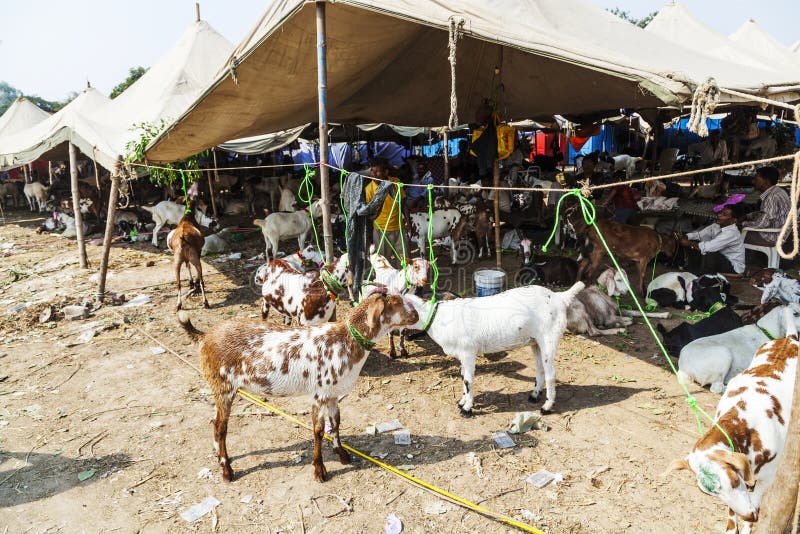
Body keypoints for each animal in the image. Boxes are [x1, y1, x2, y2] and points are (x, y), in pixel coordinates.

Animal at [177, 291, 418, 482]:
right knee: (221, 427)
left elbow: (336, 424)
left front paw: (342, 455)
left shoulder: (333, 394)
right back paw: (227, 470)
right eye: (397, 301)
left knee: (215, 423)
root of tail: (205, 336)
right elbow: (319, 430)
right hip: (223, 385)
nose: (416, 314)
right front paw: (319, 470)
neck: (346, 340)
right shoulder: (319, 393)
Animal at [404, 282, 584, 415]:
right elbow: (463, 376)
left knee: (551, 374)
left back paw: (546, 407)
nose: (404, 335)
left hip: (549, 337)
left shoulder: (468, 352)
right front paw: (462, 401)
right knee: (540, 369)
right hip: (536, 342)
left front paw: (467, 408)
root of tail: (559, 297)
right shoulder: (462, 354)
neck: (438, 317)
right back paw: (534, 396)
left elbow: (468, 380)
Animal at [667, 306, 799, 533]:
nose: (749, 516)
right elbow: (731, 513)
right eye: (710, 493)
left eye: (734, 482)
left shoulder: (765, 479)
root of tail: (789, 340)